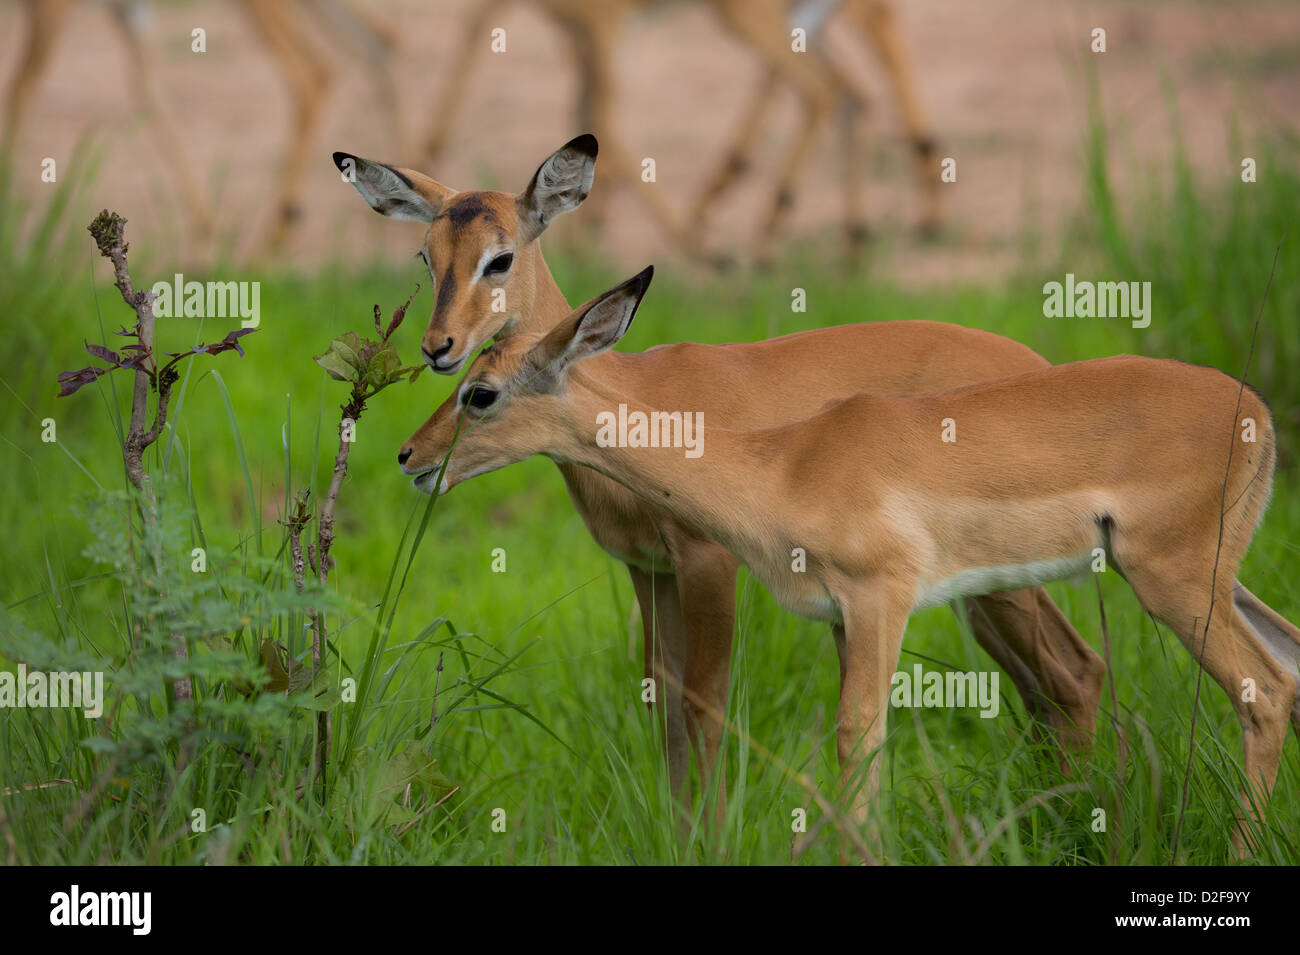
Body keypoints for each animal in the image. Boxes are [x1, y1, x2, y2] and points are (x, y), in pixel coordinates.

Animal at [333, 134, 1105, 821]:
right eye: (426, 255)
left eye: (500, 257)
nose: (439, 348)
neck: (633, 393)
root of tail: (1038, 365)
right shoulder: (648, 569)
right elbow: (662, 698)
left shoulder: (707, 561)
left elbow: (704, 702)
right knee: (1049, 682)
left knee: (1074, 673)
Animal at [397, 267, 1300, 849]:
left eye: (481, 392)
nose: (410, 456)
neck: (786, 466)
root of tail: (1254, 408)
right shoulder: (836, 616)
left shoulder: (879, 601)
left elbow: (854, 740)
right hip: (1219, 580)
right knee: (1284, 657)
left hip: (1170, 579)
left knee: (1263, 690)